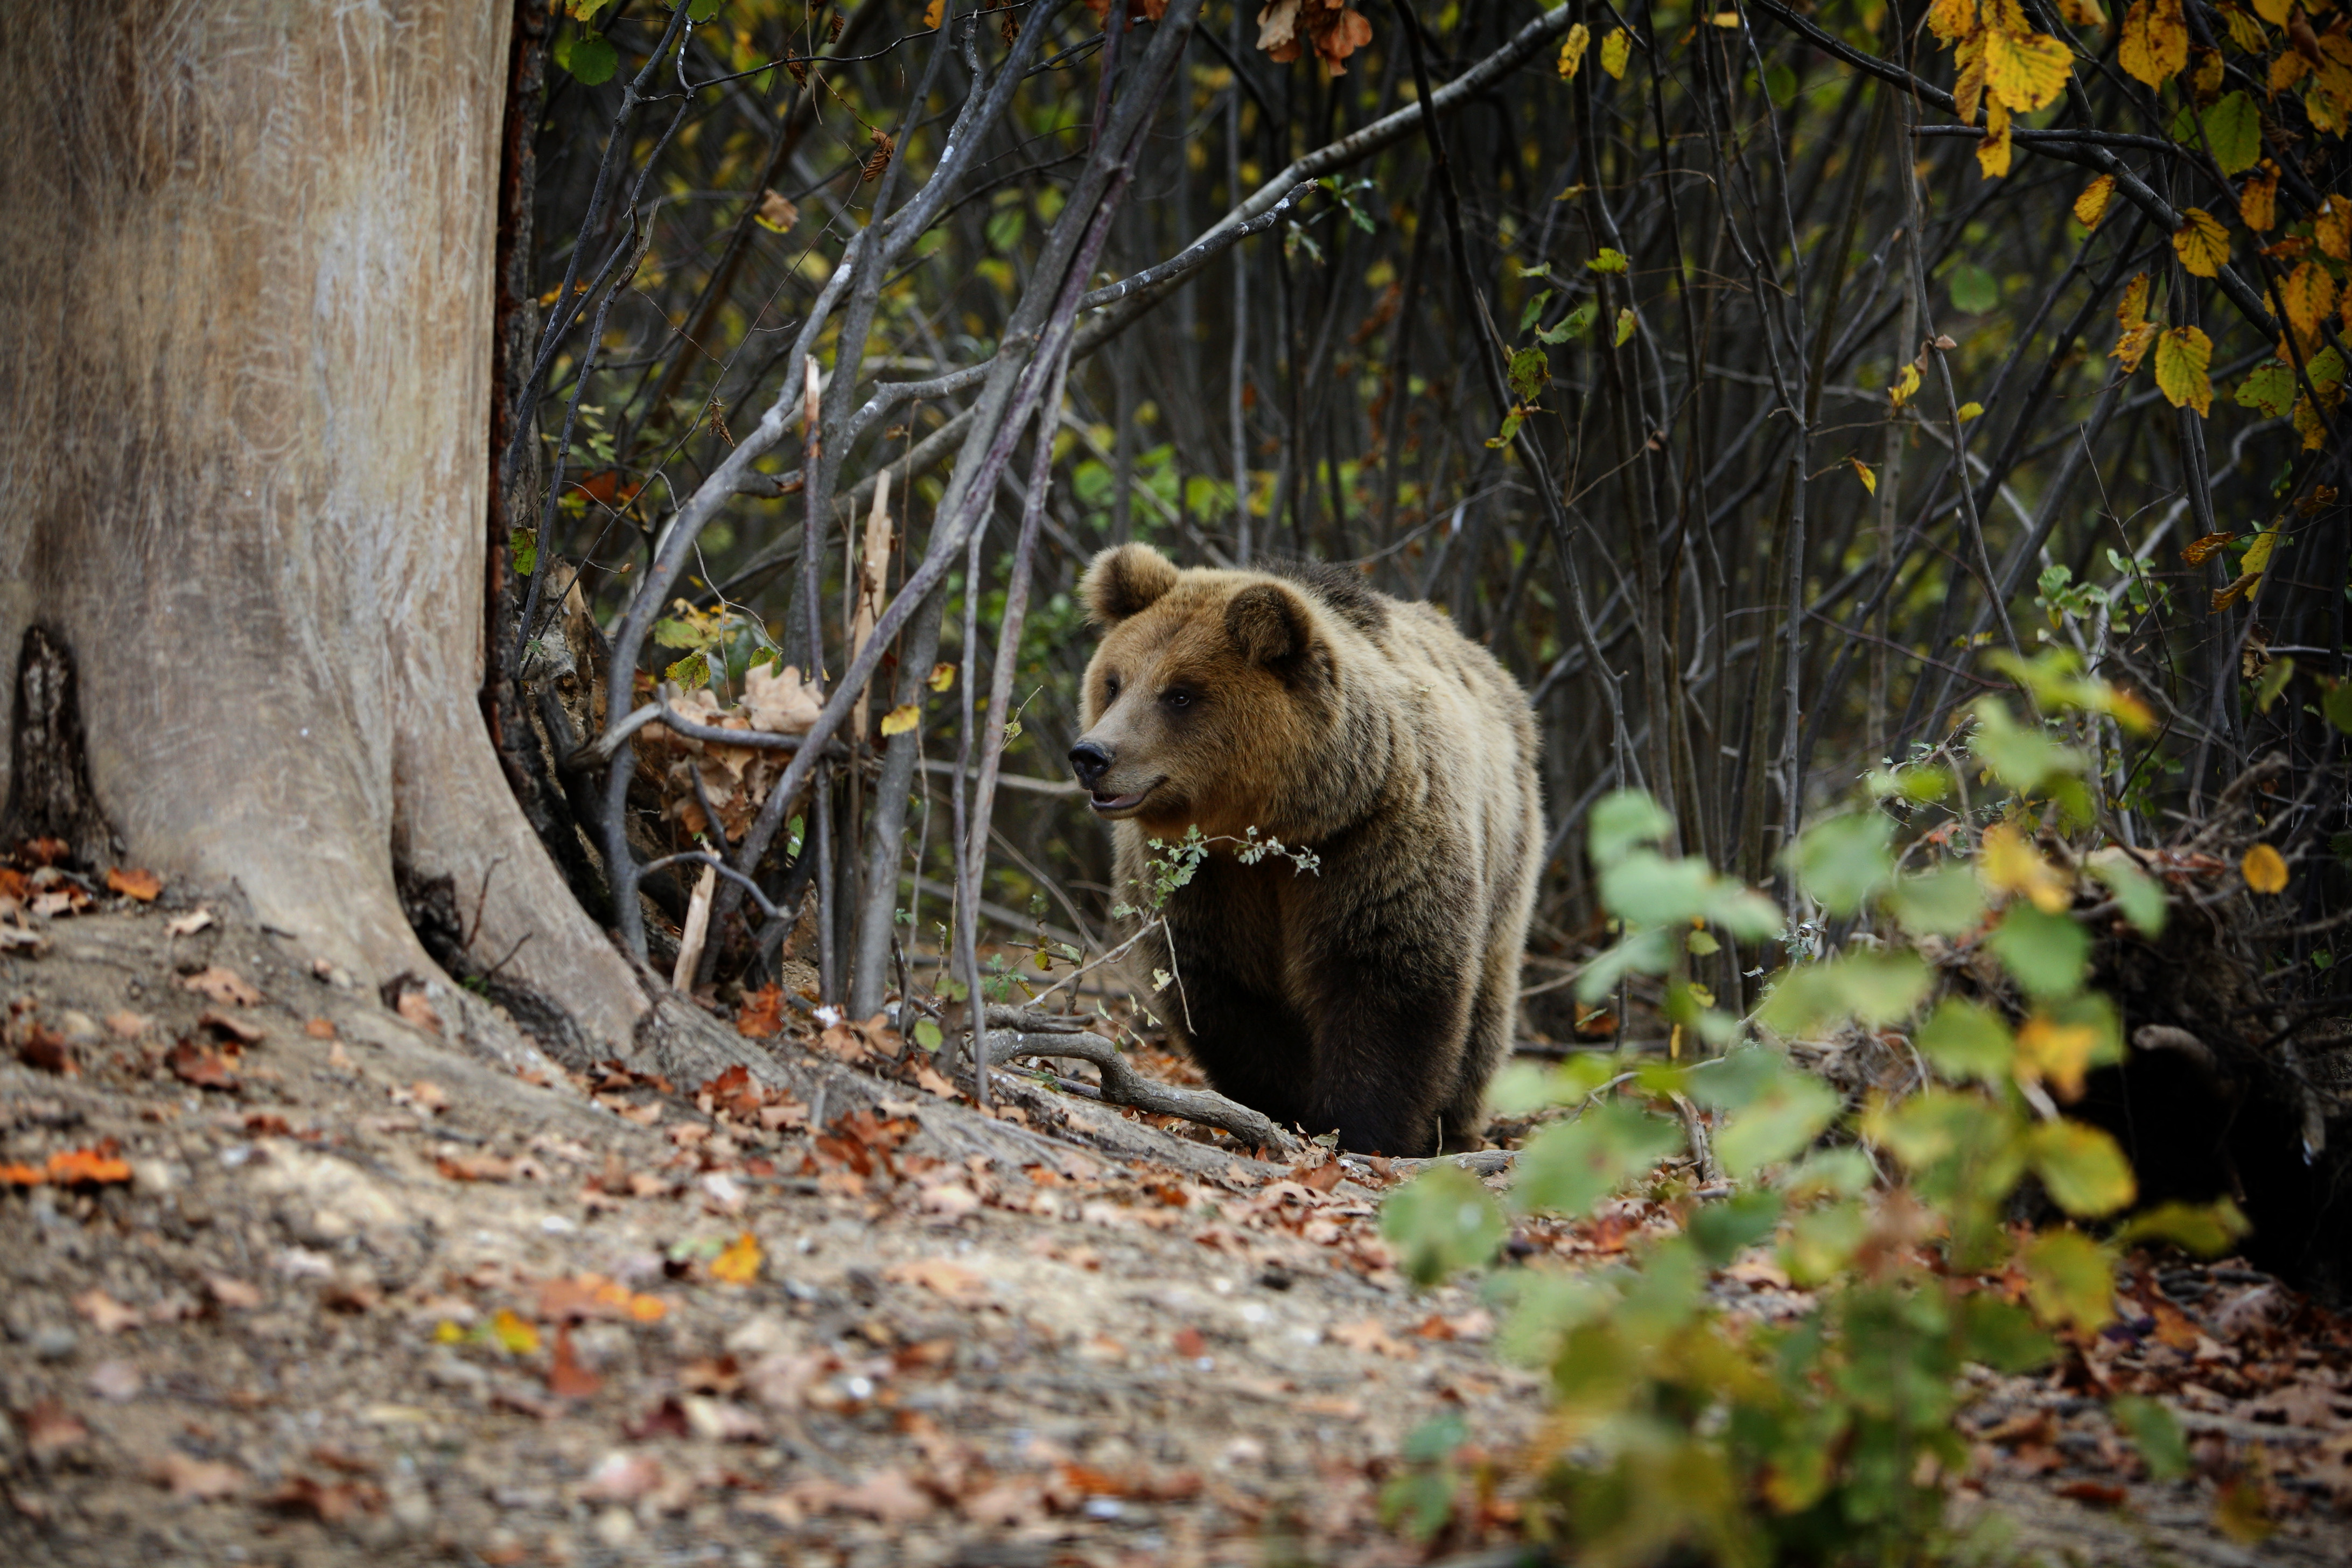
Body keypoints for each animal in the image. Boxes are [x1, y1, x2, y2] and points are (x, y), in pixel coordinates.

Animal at [1067, 542, 1542, 1156]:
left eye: (1180, 693)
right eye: (1114, 682)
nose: (1092, 755)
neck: (1275, 824)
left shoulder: (1373, 840)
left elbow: (1389, 977)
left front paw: (1362, 1129)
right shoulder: (1204, 875)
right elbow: (1224, 988)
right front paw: (1285, 1107)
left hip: (1508, 846)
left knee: (1487, 1001)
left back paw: (1455, 1125)